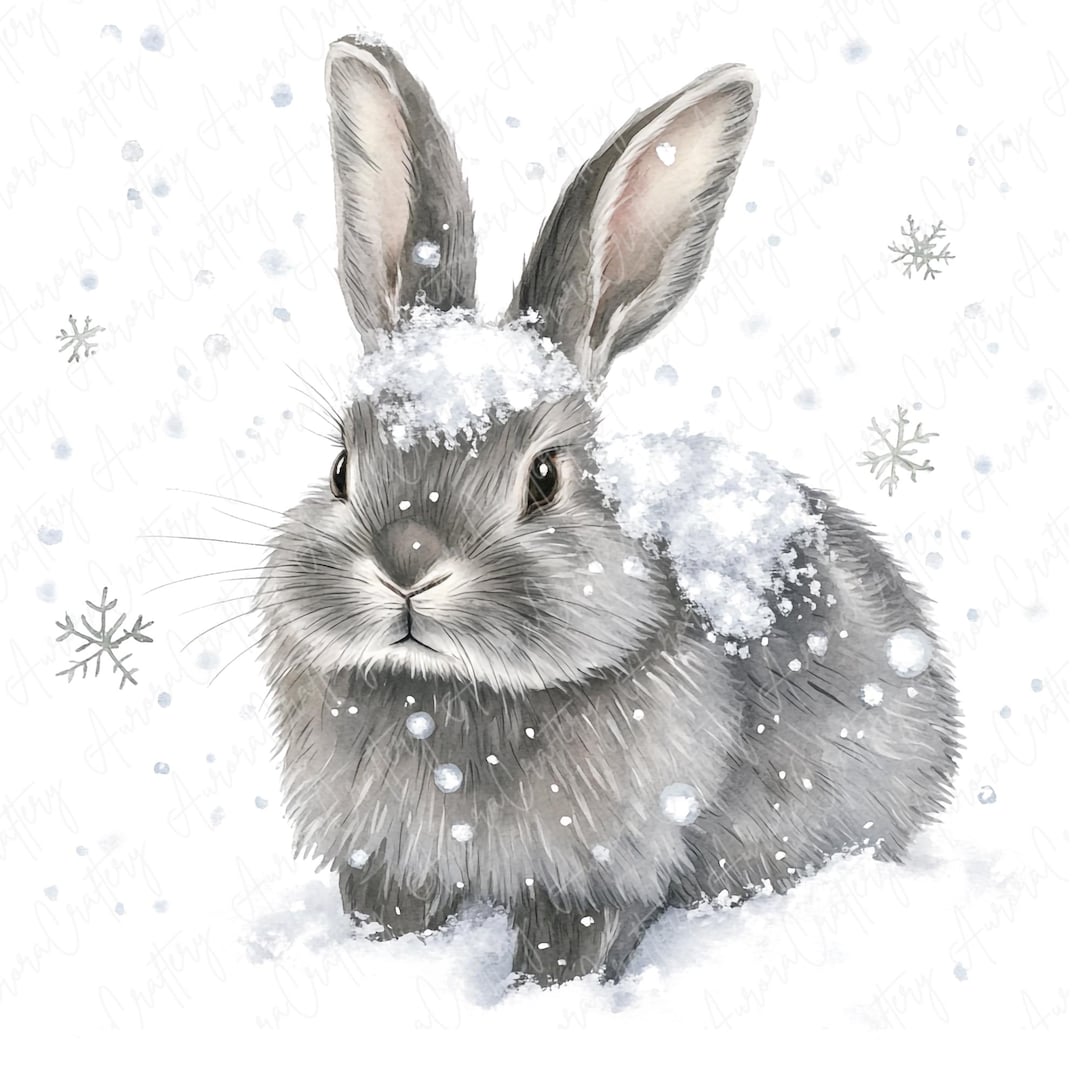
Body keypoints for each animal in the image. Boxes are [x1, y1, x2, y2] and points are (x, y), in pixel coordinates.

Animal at [255, 34, 961, 987]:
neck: (448, 693)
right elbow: (391, 918)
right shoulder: (383, 861)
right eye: (340, 465)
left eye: (545, 477)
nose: (408, 563)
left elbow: (572, 948)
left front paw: (540, 1002)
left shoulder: (600, 872)